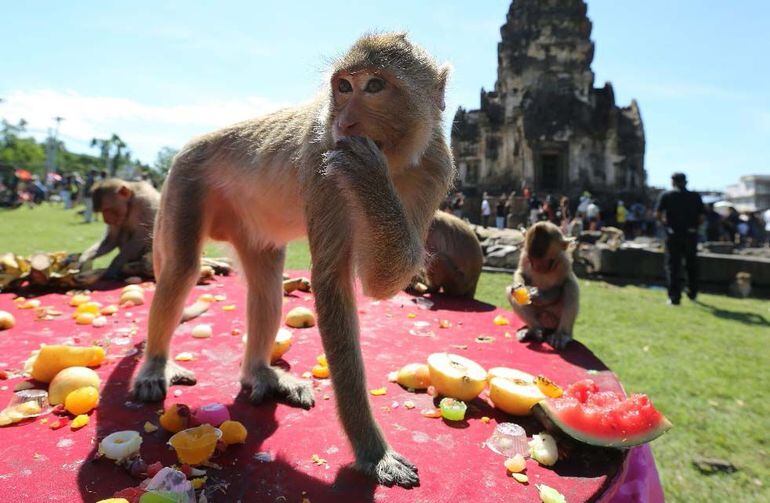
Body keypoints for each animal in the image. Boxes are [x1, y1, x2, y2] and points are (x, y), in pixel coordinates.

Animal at [130, 33, 453, 488]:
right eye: (343, 86)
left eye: (375, 85)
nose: (345, 124)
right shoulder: (323, 160)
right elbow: (332, 280)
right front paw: (373, 452)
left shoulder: (436, 166)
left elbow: (378, 283)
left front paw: (367, 176)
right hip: (186, 181)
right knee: (180, 270)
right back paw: (155, 366)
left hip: (246, 225)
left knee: (265, 285)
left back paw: (258, 372)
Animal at [507, 221, 579, 350]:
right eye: (532, 260)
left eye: (546, 261)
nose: (537, 267)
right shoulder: (525, 255)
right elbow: (520, 273)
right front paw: (520, 287)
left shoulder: (564, 261)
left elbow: (561, 285)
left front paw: (539, 295)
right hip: (540, 317)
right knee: (511, 292)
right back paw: (534, 330)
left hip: (554, 319)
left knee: (570, 287)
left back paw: (561, 335)